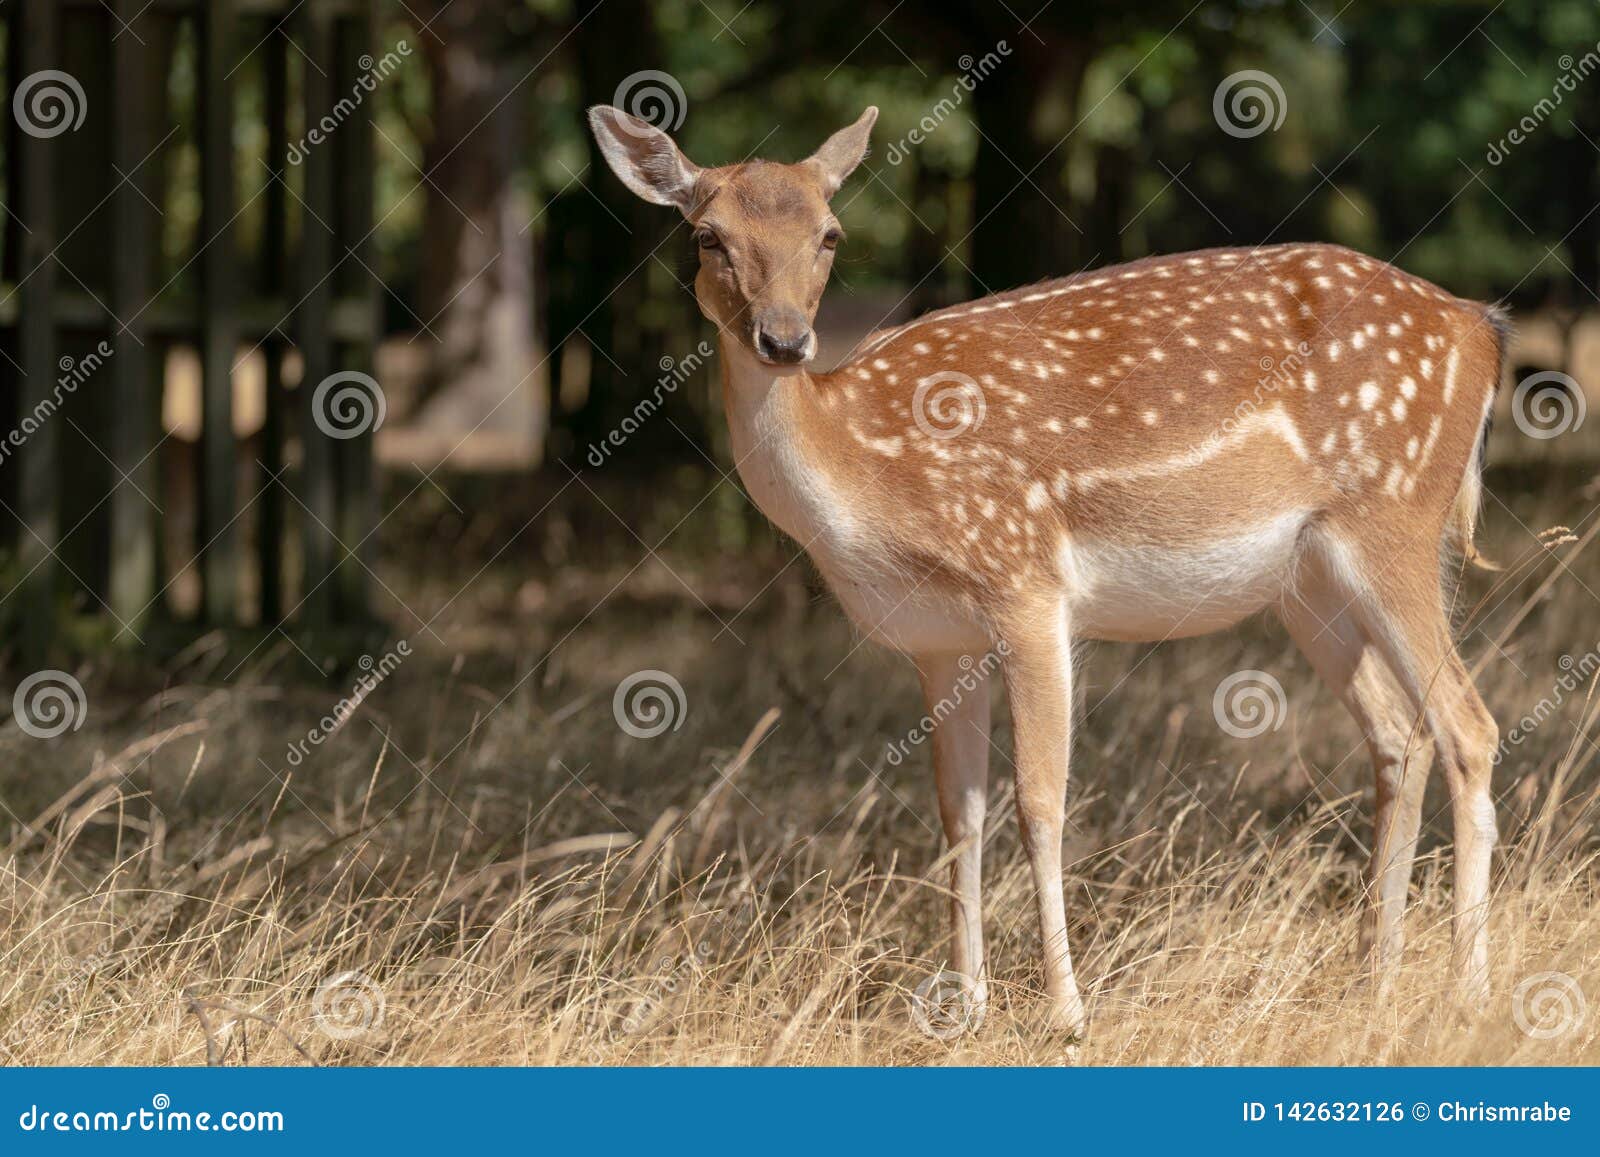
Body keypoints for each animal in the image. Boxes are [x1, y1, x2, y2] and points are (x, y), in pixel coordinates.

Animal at [589, 103, 1506, 1037]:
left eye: (830, 232)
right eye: (707, 236)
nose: (784, 339)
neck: (866, 476)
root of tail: (1479, 325)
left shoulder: (1025, 579)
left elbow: (1039, 799)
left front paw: (1065, 1010)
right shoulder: (938, 641)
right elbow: (959, 812)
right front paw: (966, 1006)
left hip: (1395, 514)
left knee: (1470, 727)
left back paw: (1467, 988)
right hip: (1309, 578)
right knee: (1400, 732)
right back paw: (1375, 976)